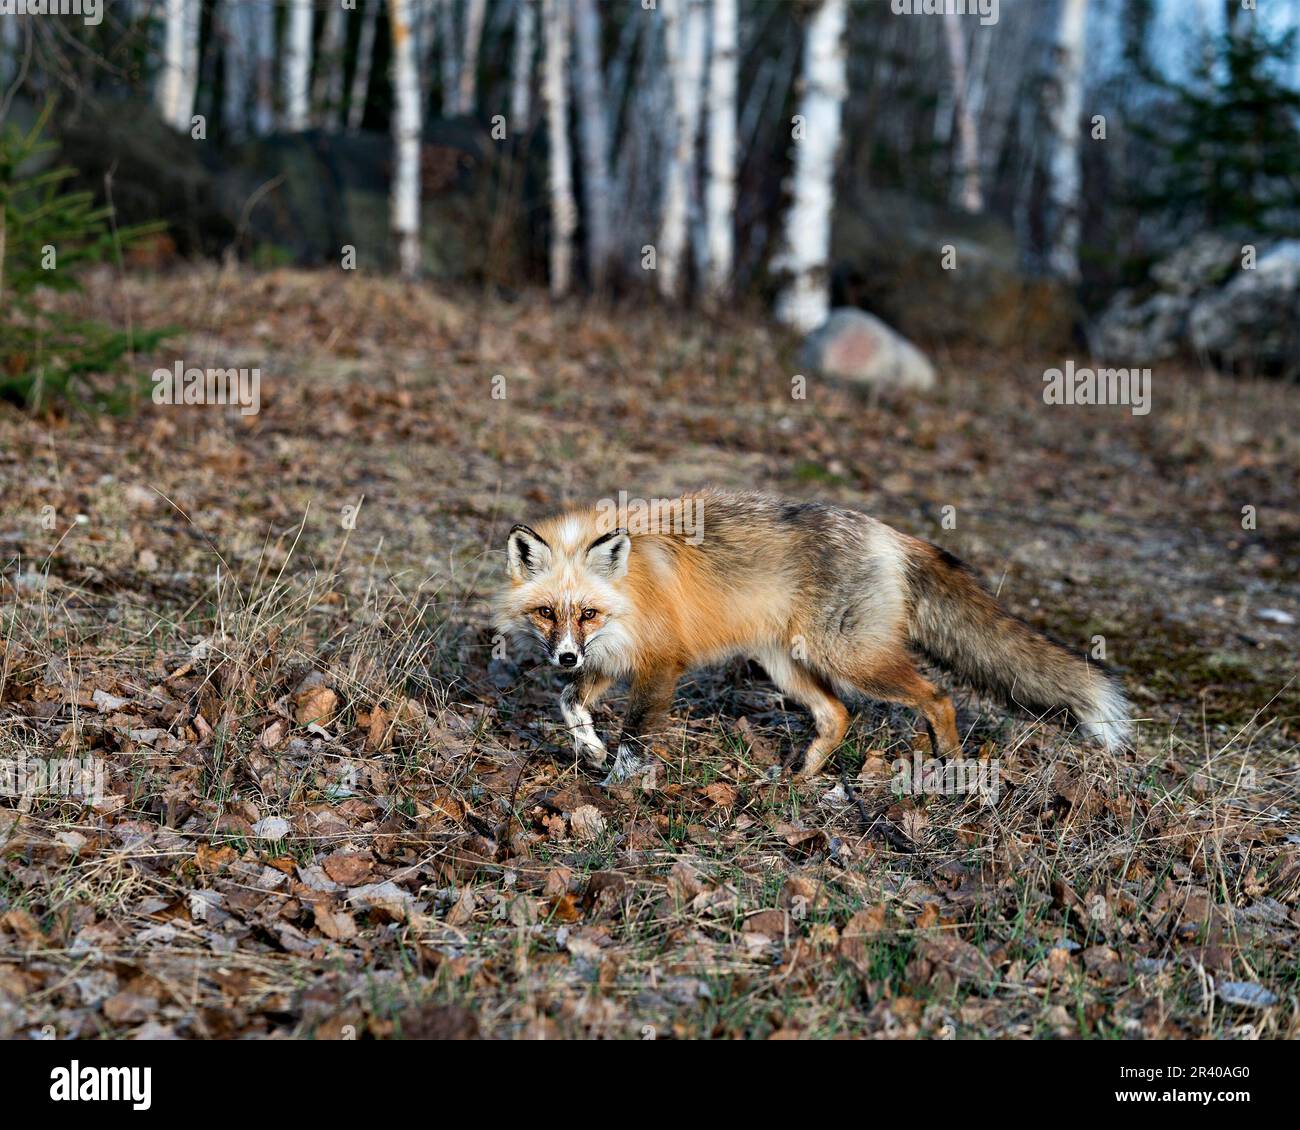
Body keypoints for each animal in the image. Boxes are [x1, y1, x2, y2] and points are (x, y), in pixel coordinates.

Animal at [493, 490, 1132, 785]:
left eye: (587, 613)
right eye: (548, 613)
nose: (563, 655)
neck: (630, 593)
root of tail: (891, 534)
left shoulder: (658, 665)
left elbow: (633, 736)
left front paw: (616, 781)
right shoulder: (608, 662)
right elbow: (570, 703)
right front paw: (590, 748)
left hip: (851, 657)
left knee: (937, 696)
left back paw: (950, 763)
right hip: (786, 664)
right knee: (838, 715)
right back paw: (802, 780)